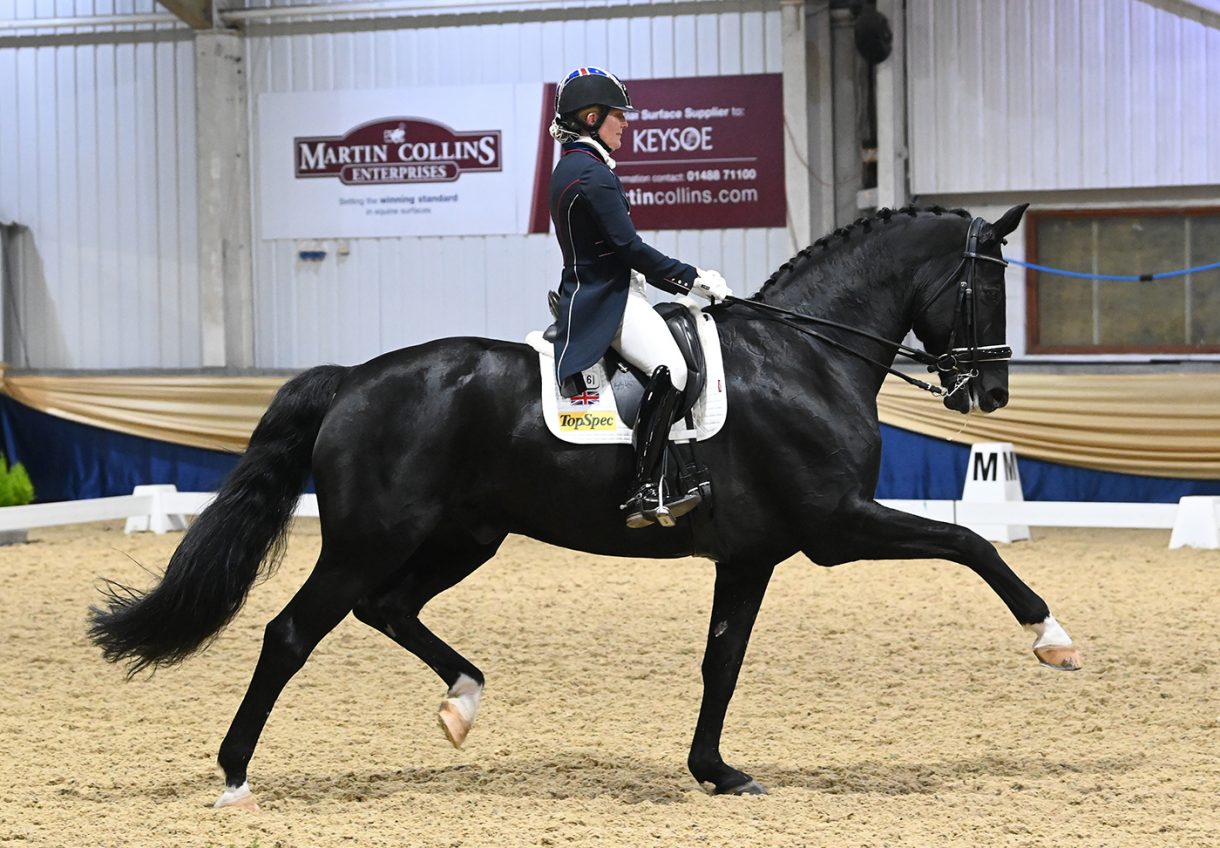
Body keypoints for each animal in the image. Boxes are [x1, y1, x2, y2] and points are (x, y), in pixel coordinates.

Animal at [89, 204, 1081, 808]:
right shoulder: (837, 524)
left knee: (390, 608)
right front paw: (1052, 637)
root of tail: (353, 380)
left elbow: (722, 665)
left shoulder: (750, 556)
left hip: (465, 536)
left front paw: (715, 772)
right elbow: (972, 544)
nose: (990, 394)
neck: (807, 356)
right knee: (293, 633)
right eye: (987, 283)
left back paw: (463, 701)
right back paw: (234, 776)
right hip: (371, 539)